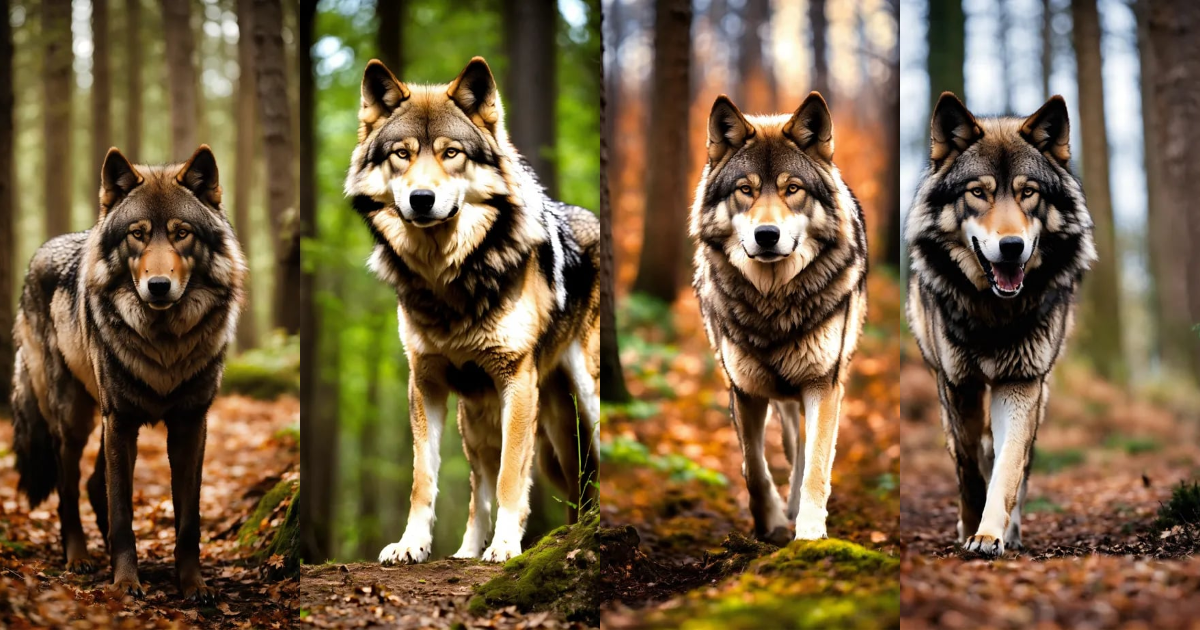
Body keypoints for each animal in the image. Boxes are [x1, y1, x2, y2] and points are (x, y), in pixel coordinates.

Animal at [10, 146, 245, 599]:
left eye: (181, 233)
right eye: (137, 234)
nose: (158, 286)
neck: (164, 344)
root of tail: (40, 254)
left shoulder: (190, 424)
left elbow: (188, 521)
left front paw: (193, 584)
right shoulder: (119, 421)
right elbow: (123, 514)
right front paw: (125, 582)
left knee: (92, 485)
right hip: (77, 420)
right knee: (69, 490)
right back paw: (79, 558)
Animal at [343, 57, 600, 564]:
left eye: (451, 153)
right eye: (401, 154)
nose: (421, 199)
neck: (448, 280)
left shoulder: (515, 380)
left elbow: (509, 479)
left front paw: (506, 546)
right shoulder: (425, 381)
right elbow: (424, 478)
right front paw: (412, 544)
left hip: (579, 402)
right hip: (484, 421)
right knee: (483, 487)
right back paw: (468, 550)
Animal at [690, 92, 868, 545]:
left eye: (792, 189)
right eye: (745, 190)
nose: (767, 236)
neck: (773, 302)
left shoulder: (824, 384)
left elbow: (817, 466)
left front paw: (809, 533)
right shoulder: (743, 389)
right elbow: (752, 467)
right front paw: (769, 523)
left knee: (804, 450)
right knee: (790, 443)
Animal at [905, 93, 1096, 556]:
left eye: (1028, 193)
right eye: (979, 192)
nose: (1012, 247)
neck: (994, 311)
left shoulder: (1021, 383)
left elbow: (1007, 468)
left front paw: (991, 533)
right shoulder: (960, 386)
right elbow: (970, 467)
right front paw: (970, 526)